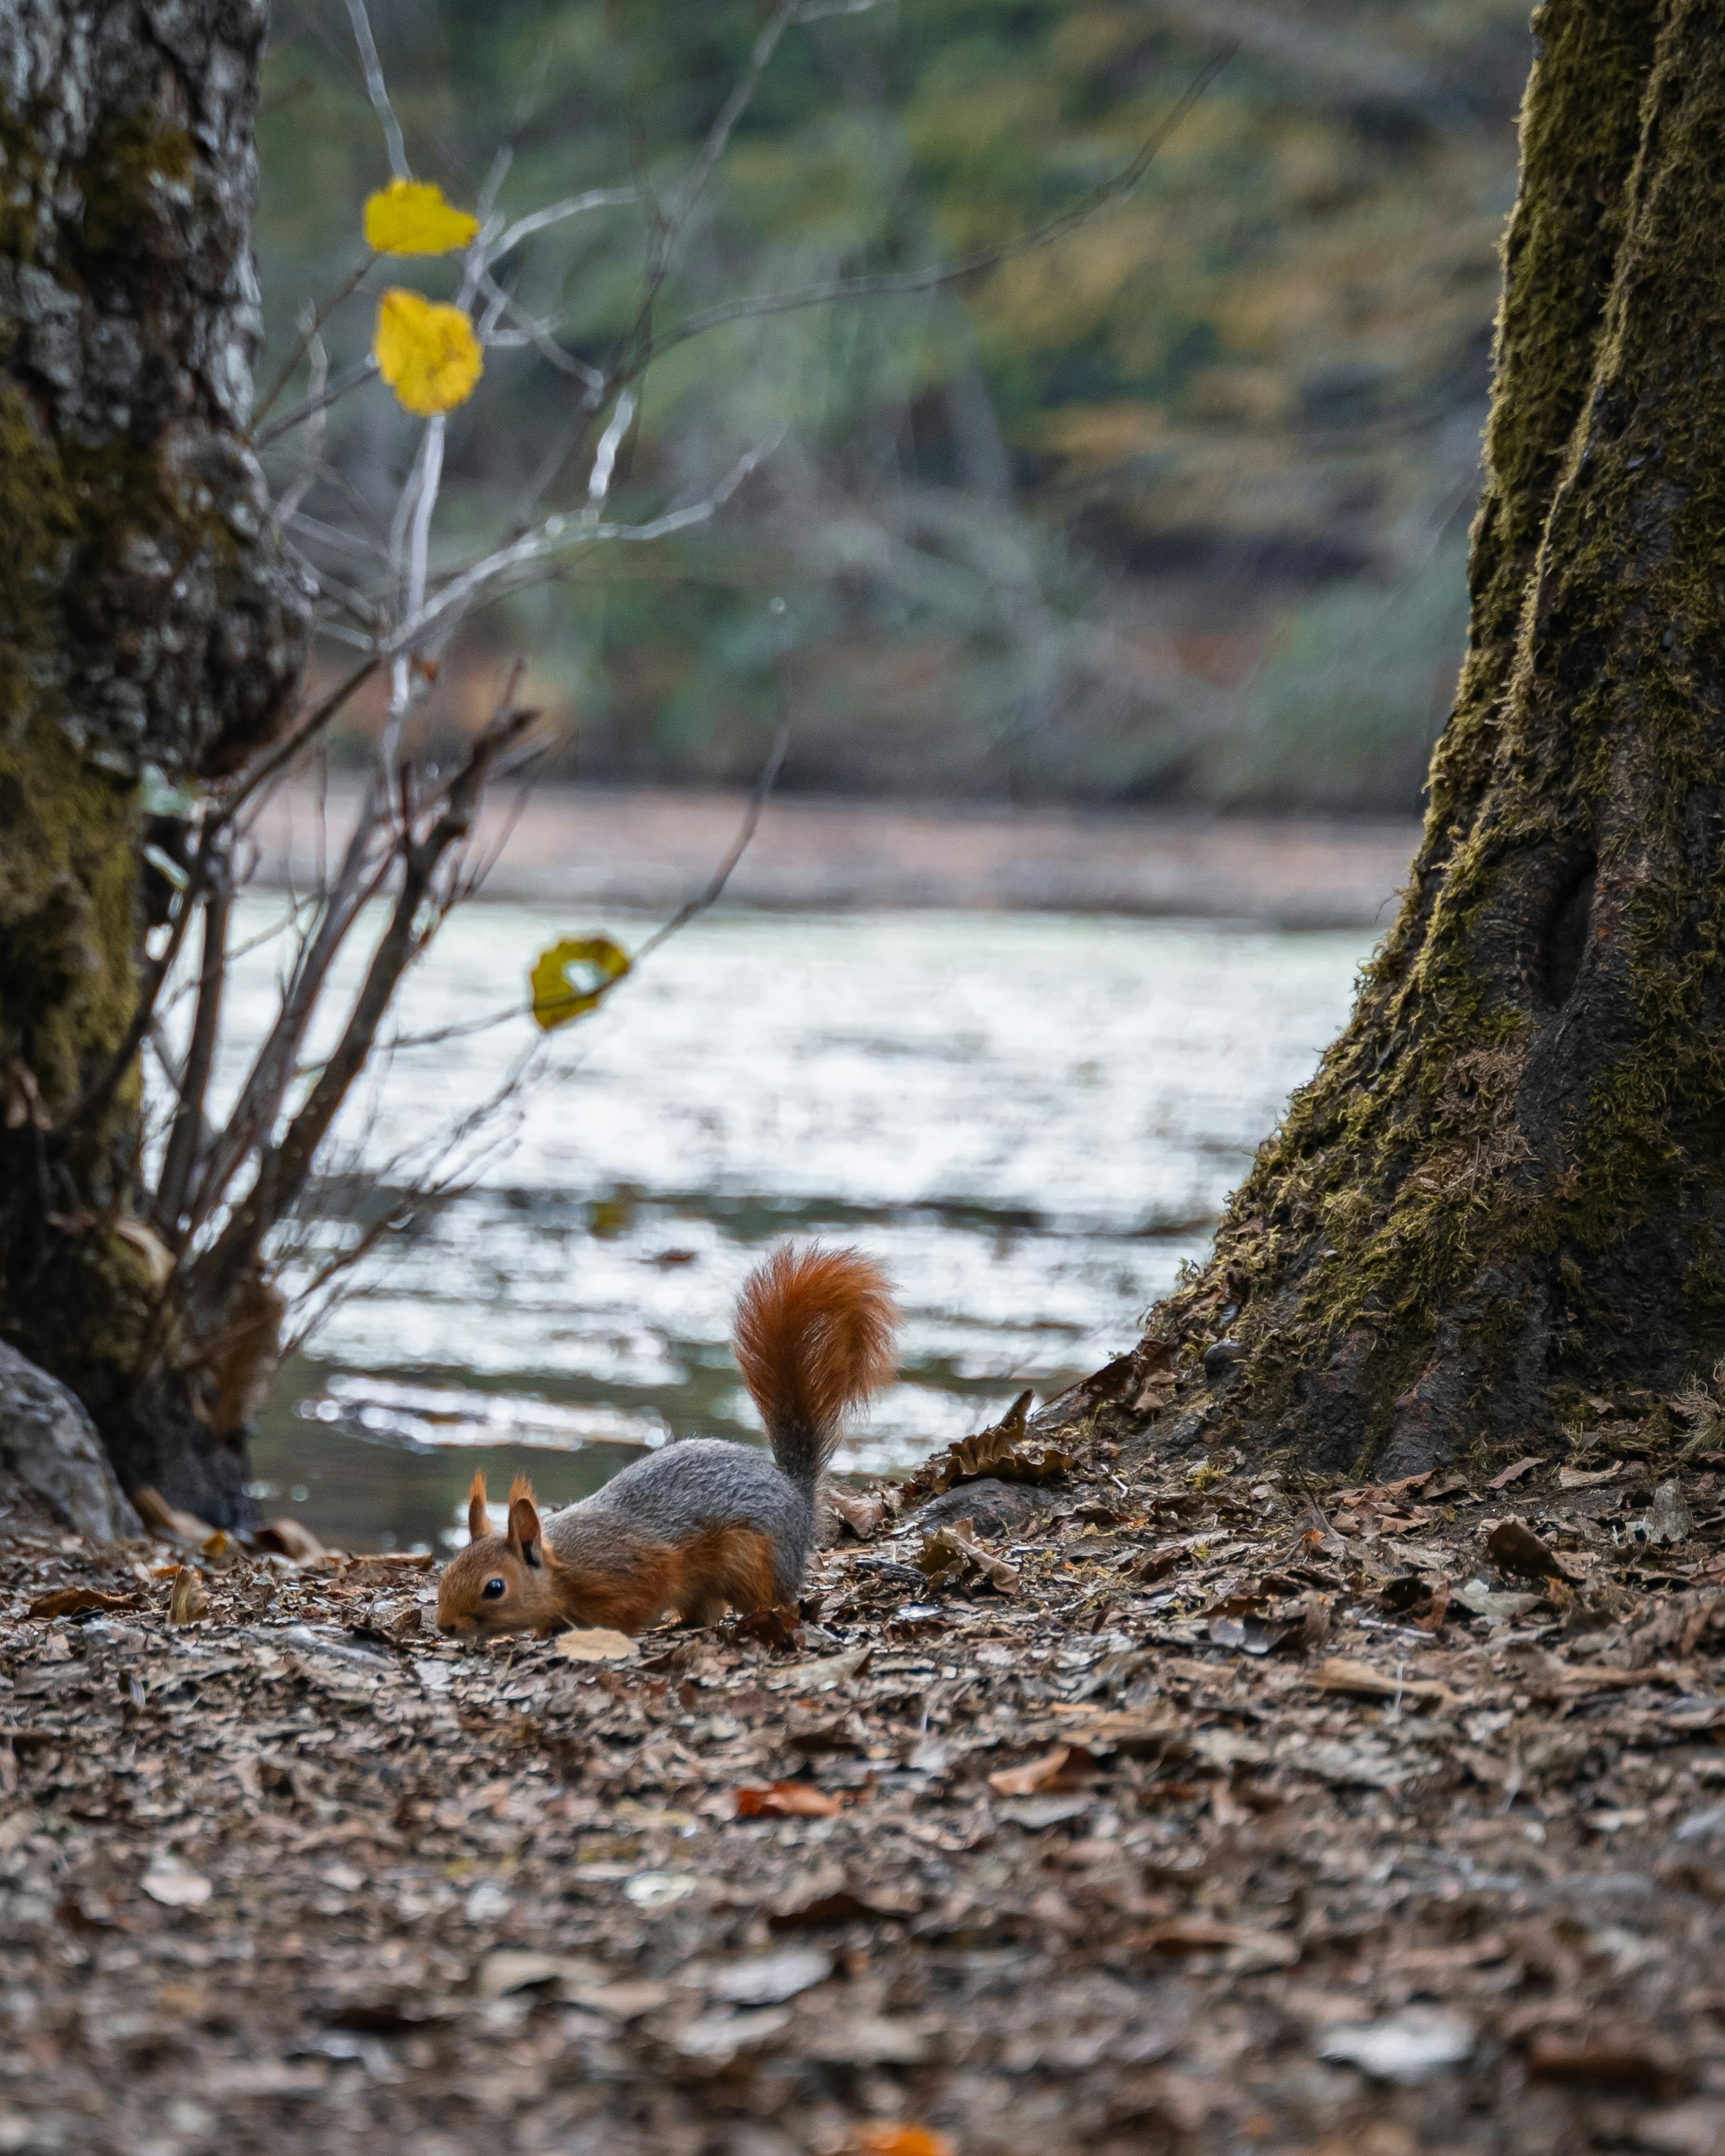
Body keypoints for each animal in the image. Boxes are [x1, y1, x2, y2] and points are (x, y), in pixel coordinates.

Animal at [435, 1243, 895, 1638]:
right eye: (449, 1571)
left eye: (494, 1588)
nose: (445, 1626)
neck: (565, 1566)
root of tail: (797, 1492)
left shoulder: (635, 1572)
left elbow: (634, 1607)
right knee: (704, 1613)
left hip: (753, 1561)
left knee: (769, 1602)